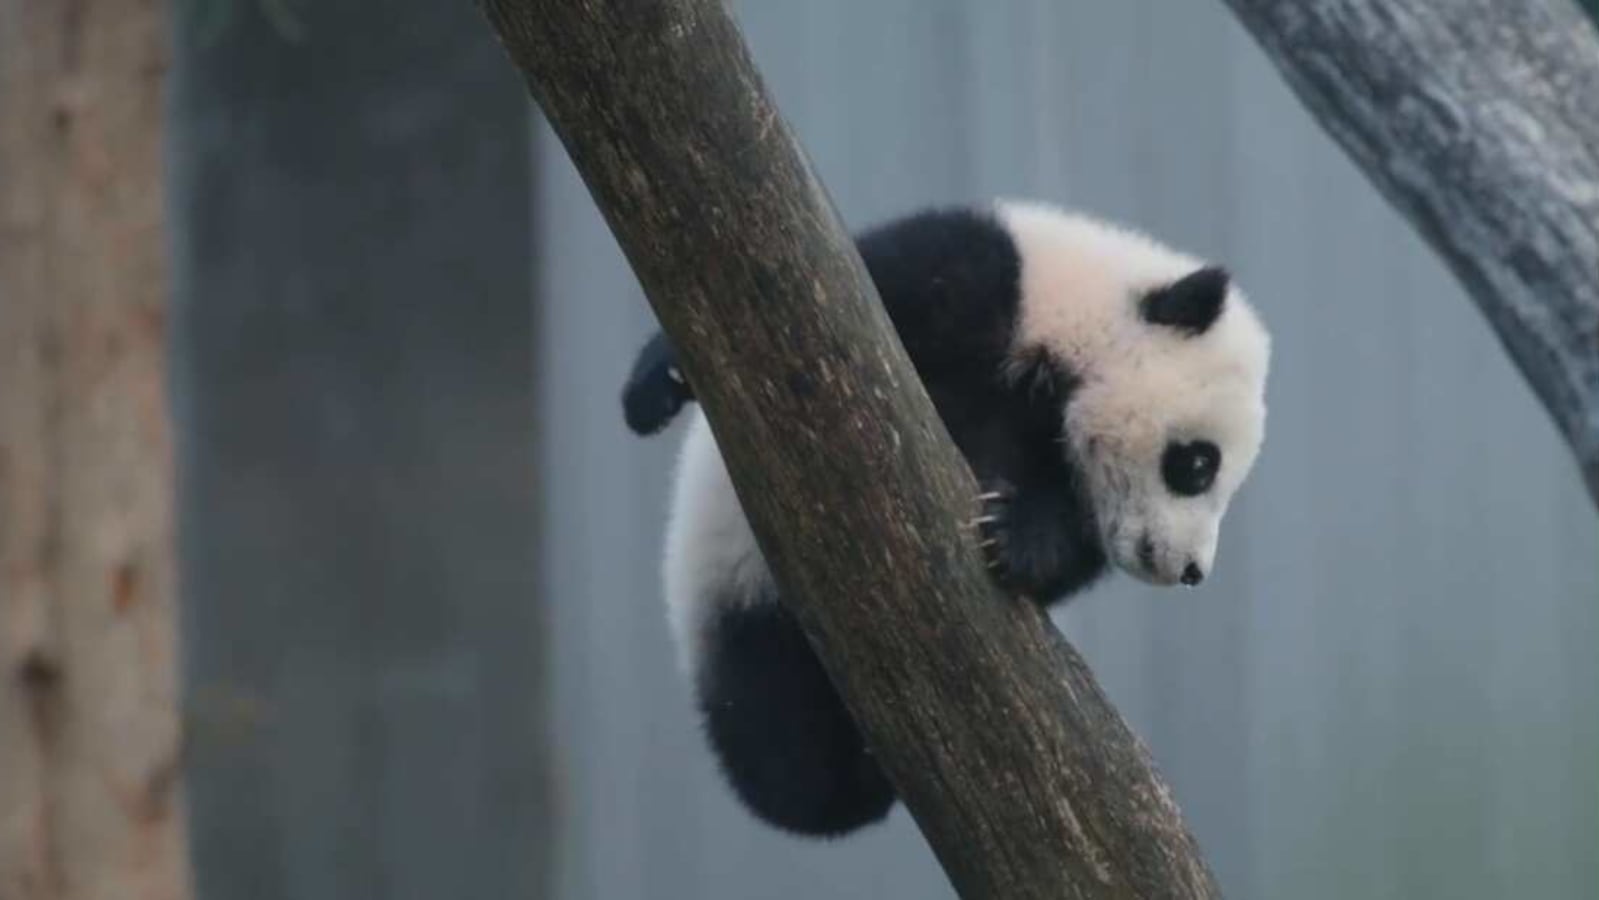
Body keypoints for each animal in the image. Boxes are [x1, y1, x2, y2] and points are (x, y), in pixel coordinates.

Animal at [621, 199, 1271, 838]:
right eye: (1198, 465)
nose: (1191, 571)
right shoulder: (968, 281)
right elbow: (855, 290)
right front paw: (659, 380)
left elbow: (1057, 536)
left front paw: (1016, 538)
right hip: (737, 593)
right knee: (784, 748)